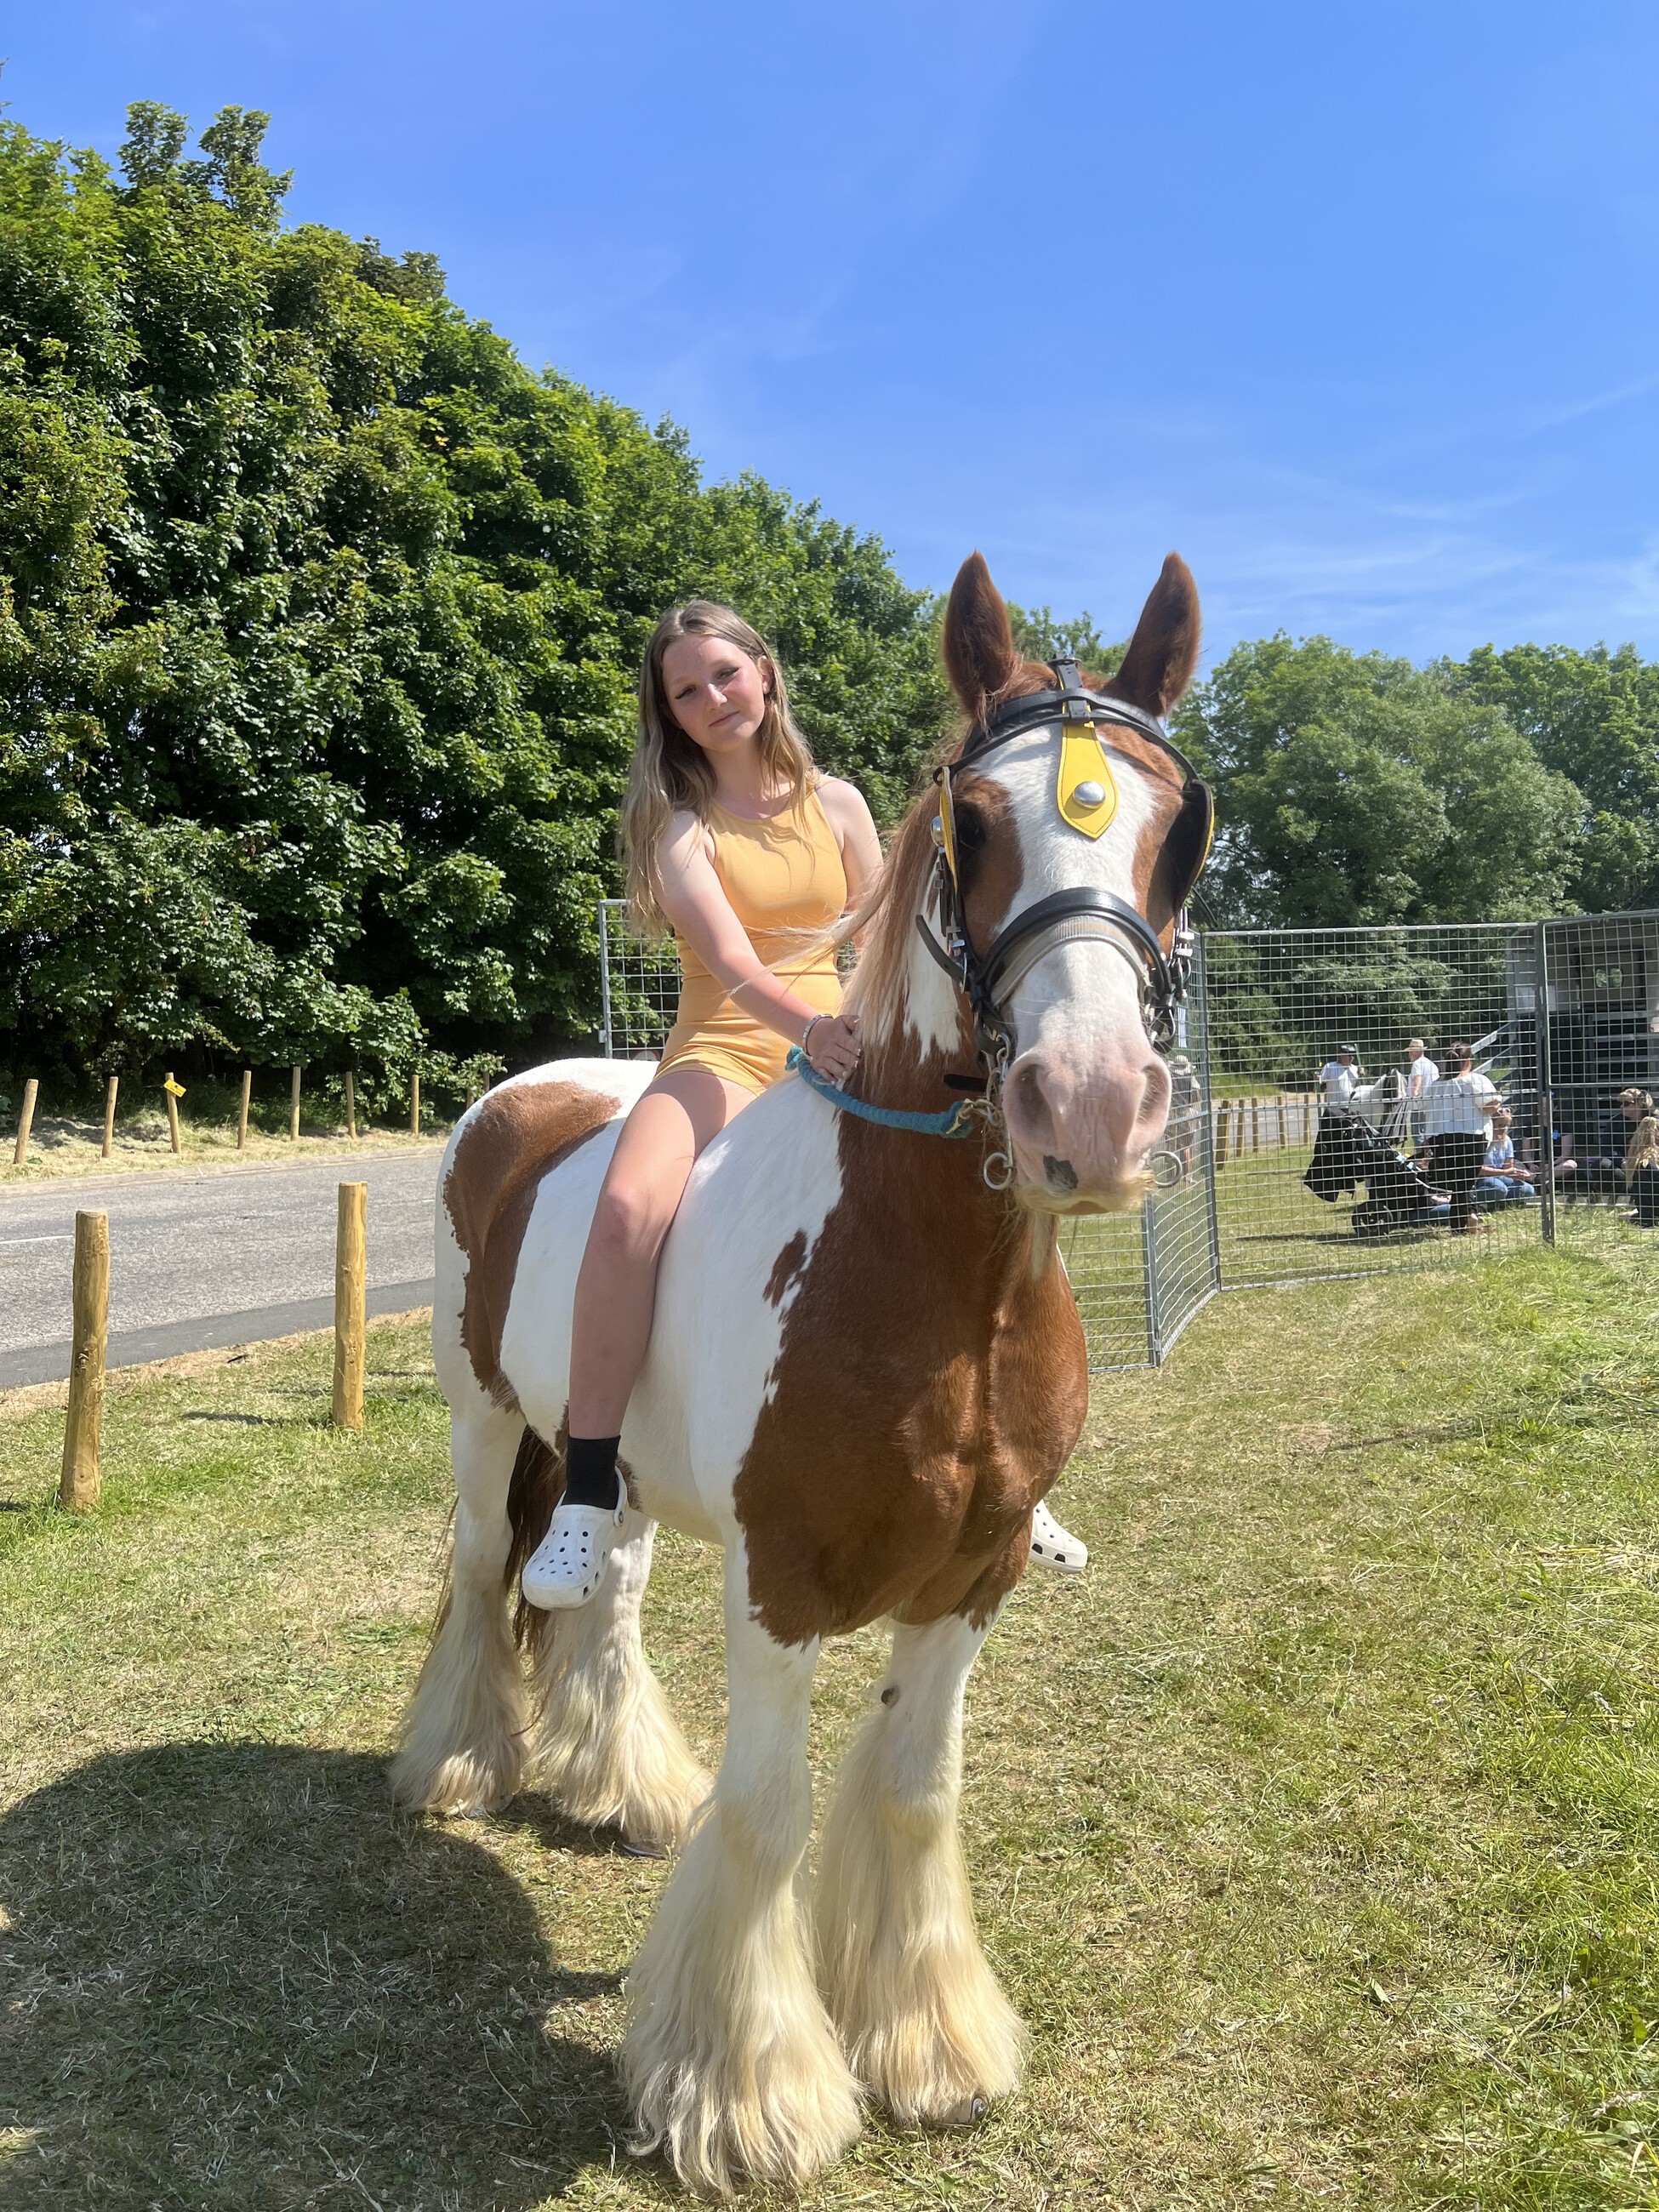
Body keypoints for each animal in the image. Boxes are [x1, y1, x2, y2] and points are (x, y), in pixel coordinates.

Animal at [392, 548, 1211, 2195]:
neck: (933, 1283)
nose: (1089, 1108)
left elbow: (912, 1789)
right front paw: (746, 2094)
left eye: (1181, 825)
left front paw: (928, 2046)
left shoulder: (971, 1580)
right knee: (481, 1570)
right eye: (973, 822)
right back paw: (459, 1765)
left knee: (602, 1591)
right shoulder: (779, 1583)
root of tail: (531, 1095)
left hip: (622, 1477)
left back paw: (626, 1786)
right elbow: (768, 1818)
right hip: (480, 1419)